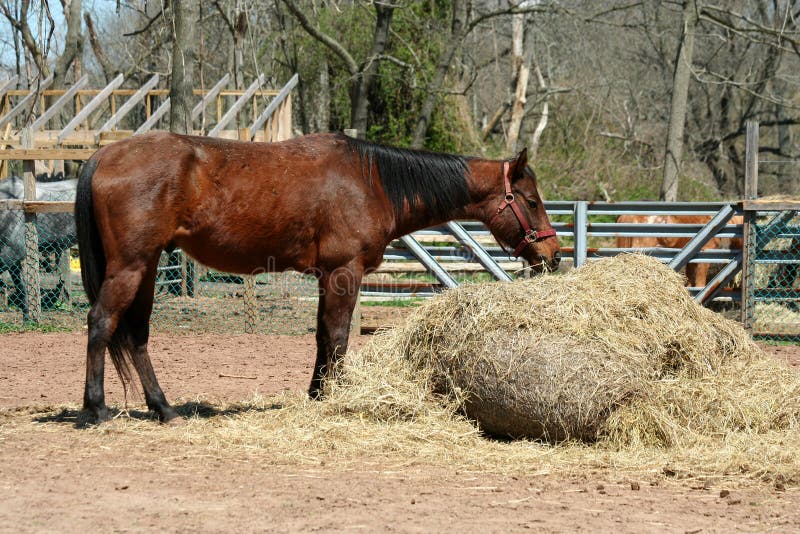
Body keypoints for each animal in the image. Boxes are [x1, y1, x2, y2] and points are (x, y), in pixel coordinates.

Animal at [75, 131, 561, 423]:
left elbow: (323, 337)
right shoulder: (345, 272)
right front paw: (338, 398)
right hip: (131, 266)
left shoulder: (328, 276)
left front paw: (318, 394)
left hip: (147, 268)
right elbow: (339, 336)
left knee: (136, 334)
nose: (553, 255)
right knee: (101, 323)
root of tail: (103, 154)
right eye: (531, 201)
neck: (373, 181)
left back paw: (163, 408)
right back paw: (95, 409)